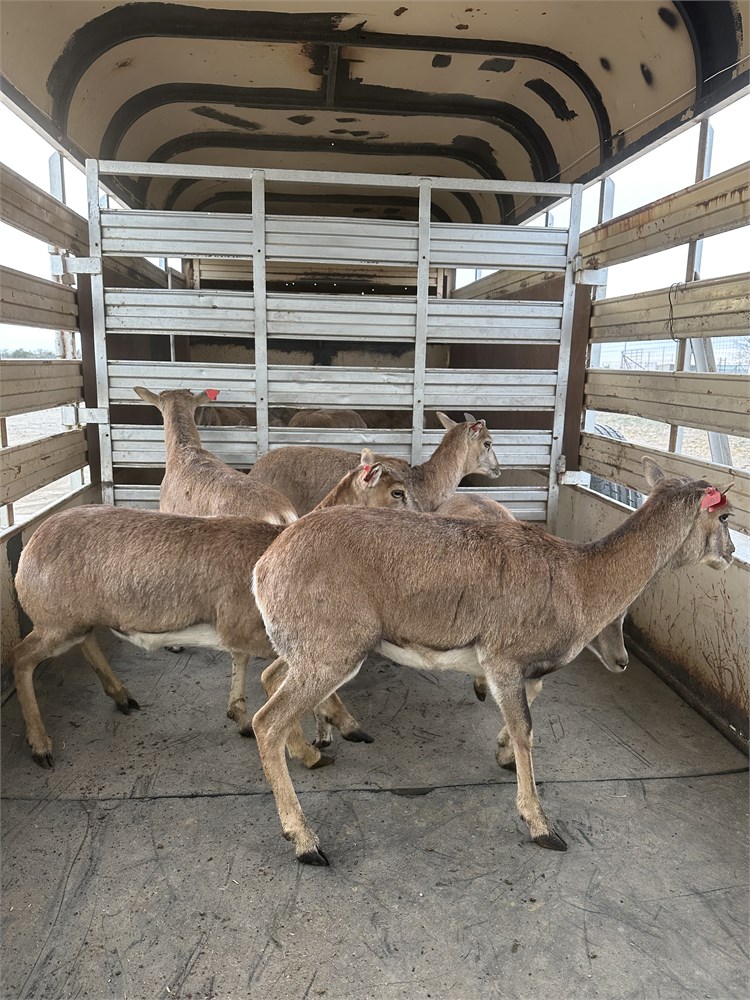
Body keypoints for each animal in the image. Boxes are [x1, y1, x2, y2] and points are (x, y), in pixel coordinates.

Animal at [10, 458, 417, 769]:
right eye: (397, 492)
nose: (421, 518)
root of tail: (32, 544)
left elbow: (245, 665)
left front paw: (245, 718)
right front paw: (327, 738)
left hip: (72, 619)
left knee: (86, 643)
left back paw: (122, 697)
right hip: (54, 621)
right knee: (22, 658)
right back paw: (41, 746)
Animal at [250, 459, 734, 864]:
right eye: (726, 516)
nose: (730, 555)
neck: (580, 578)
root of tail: (265, 567)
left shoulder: (522, 671)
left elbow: (526, 706)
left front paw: (502, 755)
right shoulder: (503, 658)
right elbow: (526, 729)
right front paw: (542, 826)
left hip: (308, 650)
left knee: (270, 677)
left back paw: (310, 753)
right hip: (332, 654)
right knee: (266, 721)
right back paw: (306, 841)